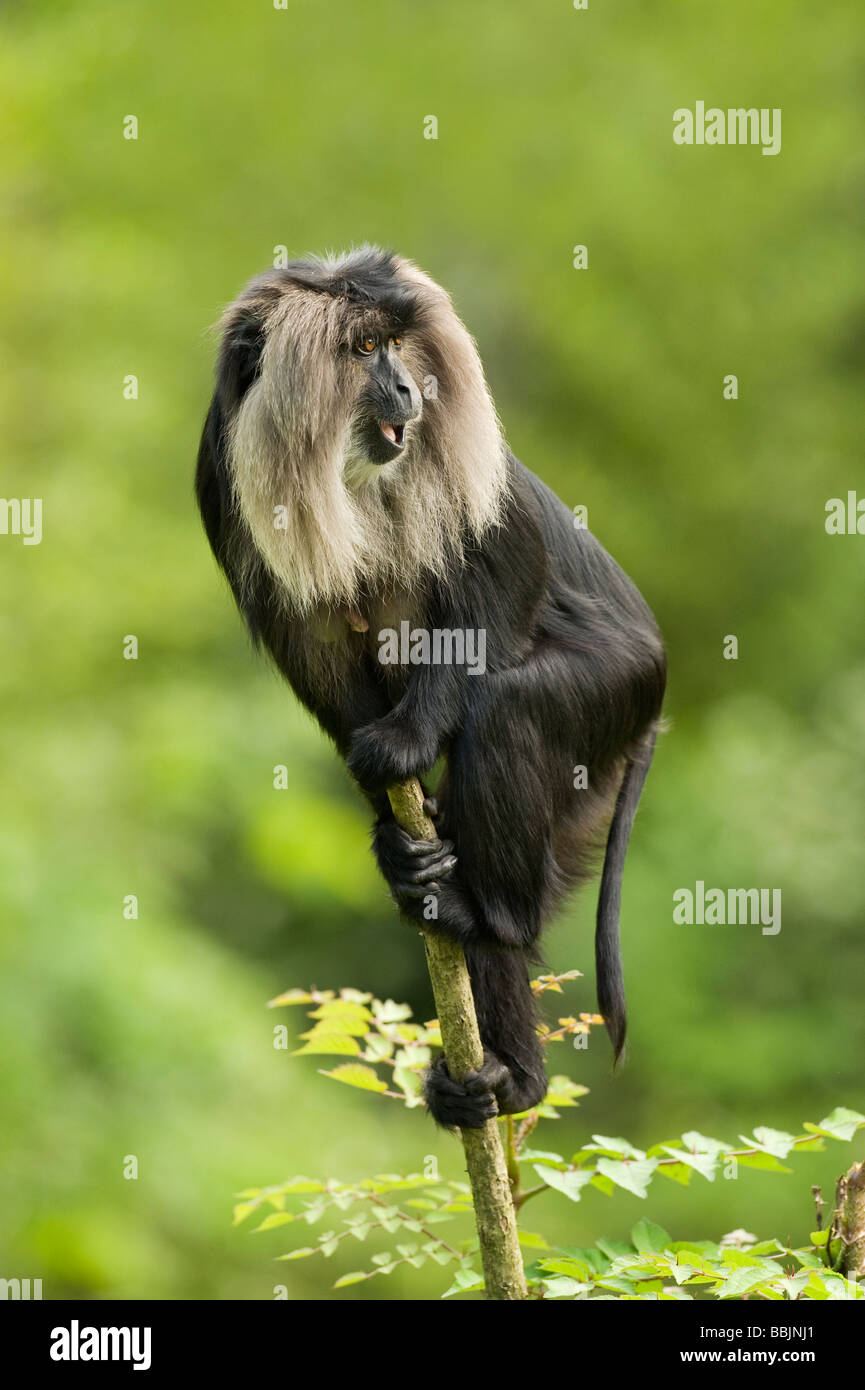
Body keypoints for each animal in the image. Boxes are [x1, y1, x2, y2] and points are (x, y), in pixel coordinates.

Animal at [195, 246, 666, 1129]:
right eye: (361, 350)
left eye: (394, 346)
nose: (410, 390)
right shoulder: (222, 481)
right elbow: (314, 653)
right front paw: (393, 832)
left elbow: (501, 573)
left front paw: (407, 743)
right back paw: (509, 1076)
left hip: (619, 684)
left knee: (509, 712)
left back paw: (488, 918)